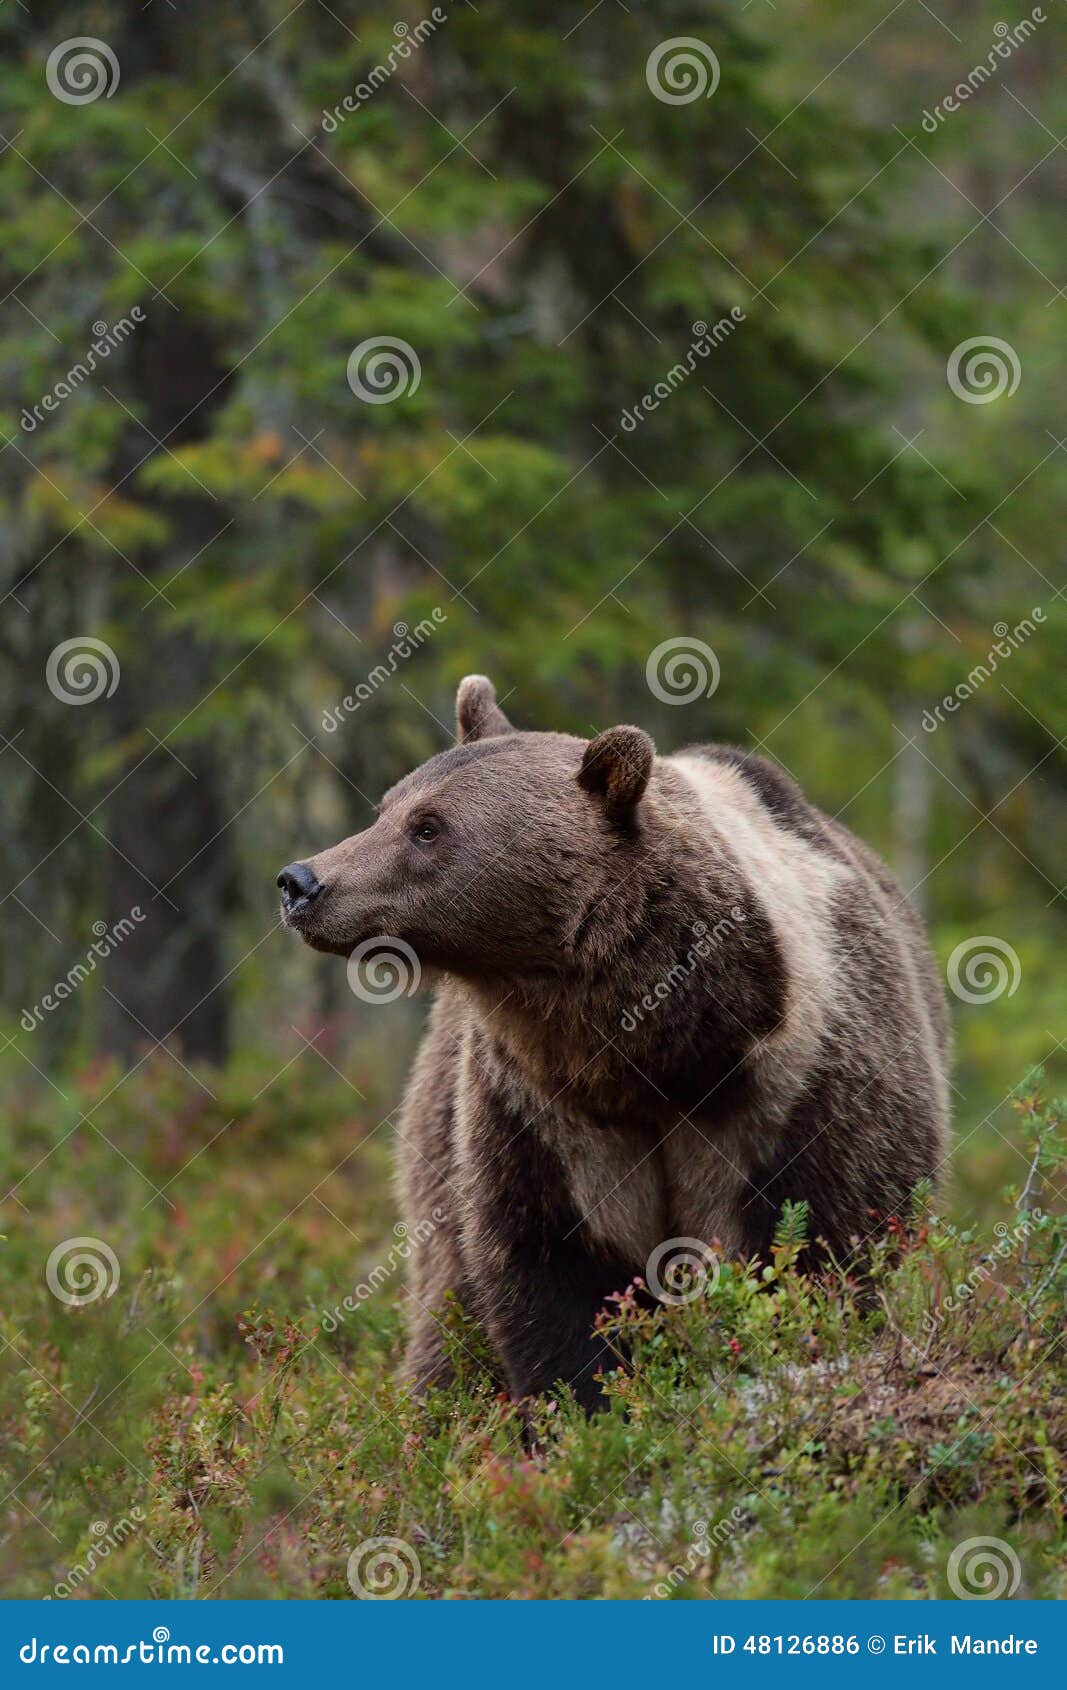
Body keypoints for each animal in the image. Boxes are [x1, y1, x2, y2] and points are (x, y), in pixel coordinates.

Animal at [279, 675, 951, 1412]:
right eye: (386, 807)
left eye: (427, 826)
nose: (301, 881)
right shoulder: (538, 1114)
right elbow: (549, 1276)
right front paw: (579, 1408)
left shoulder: (799, 1082)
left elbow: (822, 1241)